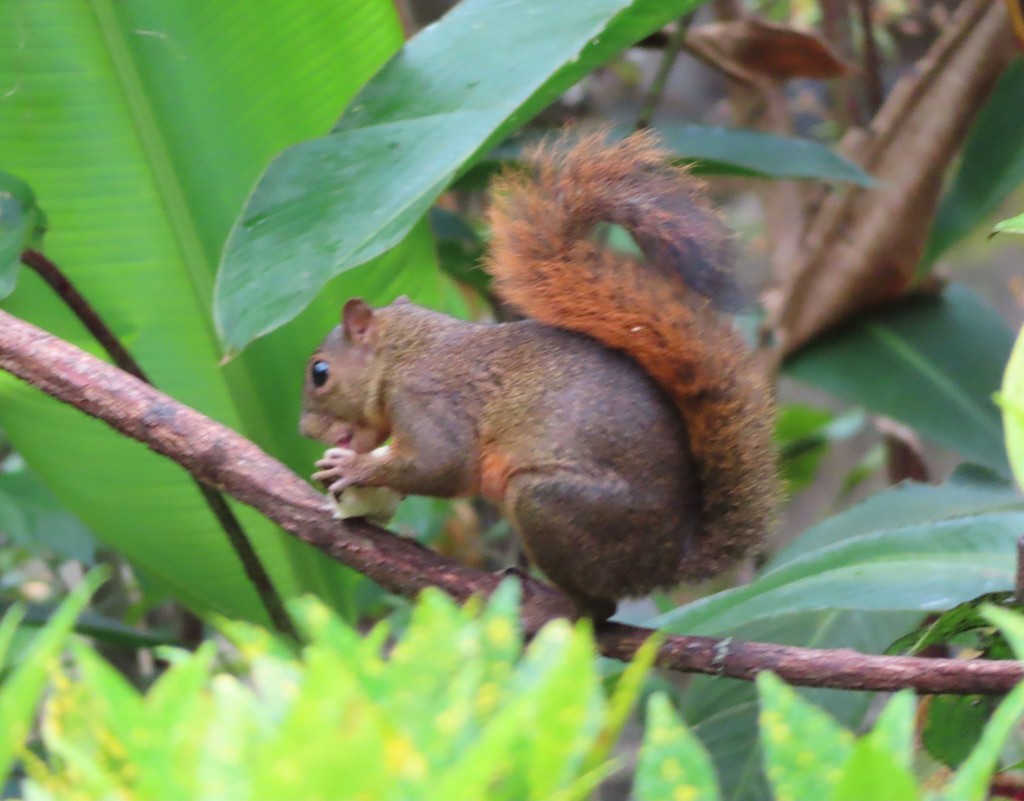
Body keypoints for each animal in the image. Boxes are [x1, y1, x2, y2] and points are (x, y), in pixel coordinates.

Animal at [300, 130, 779, 619]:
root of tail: (669, 560)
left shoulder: (423, 397)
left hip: (547, 503)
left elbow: (443, 464)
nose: (305, 430)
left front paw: (354, 467)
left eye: (320, 372)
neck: (401, 352)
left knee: (600, 607)